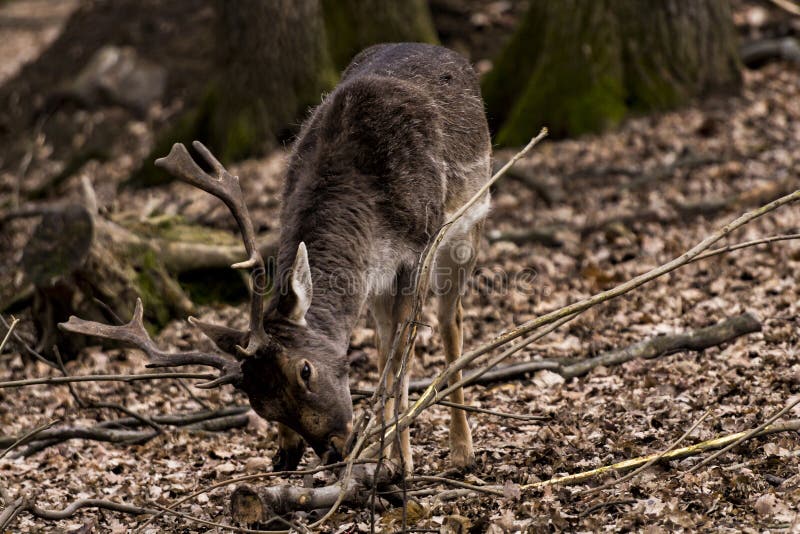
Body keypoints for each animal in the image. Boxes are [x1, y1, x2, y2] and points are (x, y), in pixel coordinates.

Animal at [60, 42, 491, 473]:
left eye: (305, 370)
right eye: (264, 408)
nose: (334, 450)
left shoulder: (419, 249)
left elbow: (403, 358)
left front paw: (400, 462)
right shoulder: (375, 274)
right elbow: (387, 352)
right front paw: (293, 450)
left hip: (470, 223)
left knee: (450, 321)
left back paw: (461, 450)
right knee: (386, 340)